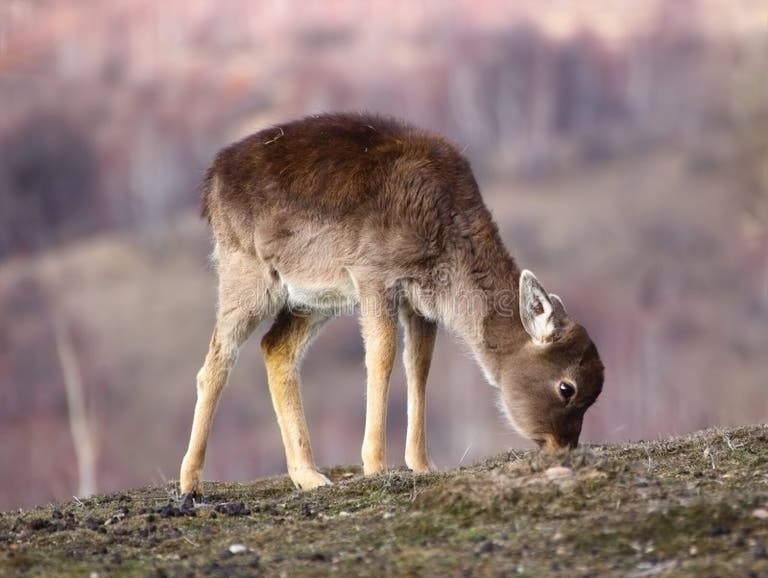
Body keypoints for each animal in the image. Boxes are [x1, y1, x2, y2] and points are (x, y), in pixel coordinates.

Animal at [179, 112, 604, 496]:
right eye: (566, 388)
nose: (564, 448)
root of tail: (210, 182)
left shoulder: (420, 302)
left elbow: (419, 366)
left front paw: (421, 463)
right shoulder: (373, 273)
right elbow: (381, 356)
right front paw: (375, 464)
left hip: (314, 296)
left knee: (276, 347)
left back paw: (308, 475)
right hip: (246, 271)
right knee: (215, 361)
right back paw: (191, 483)